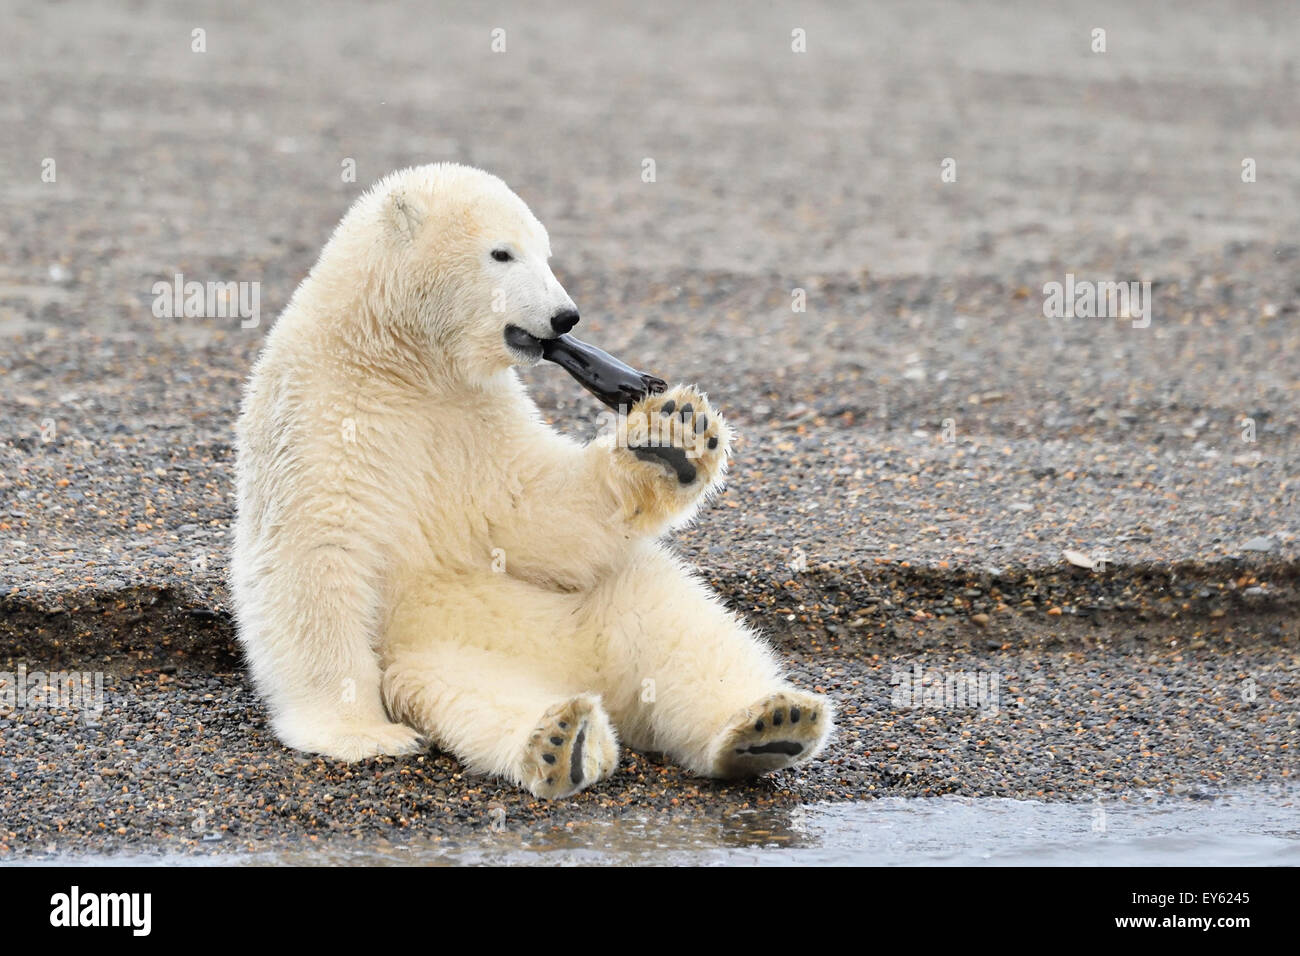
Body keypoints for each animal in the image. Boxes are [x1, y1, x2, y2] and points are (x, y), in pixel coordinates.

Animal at [231, 163, 833, 798]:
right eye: (502, 252)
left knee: (671, 619)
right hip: (441, 654)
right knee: (486, 698)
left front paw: (672, 438)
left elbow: (532, 510)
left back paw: (769, 724)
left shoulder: (477, 417)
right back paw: (562, 738)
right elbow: (314, 558)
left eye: (546, 253)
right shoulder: (317, 419)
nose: (566, 318)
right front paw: (361, 736)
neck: (397, 359)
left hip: (576, 615)